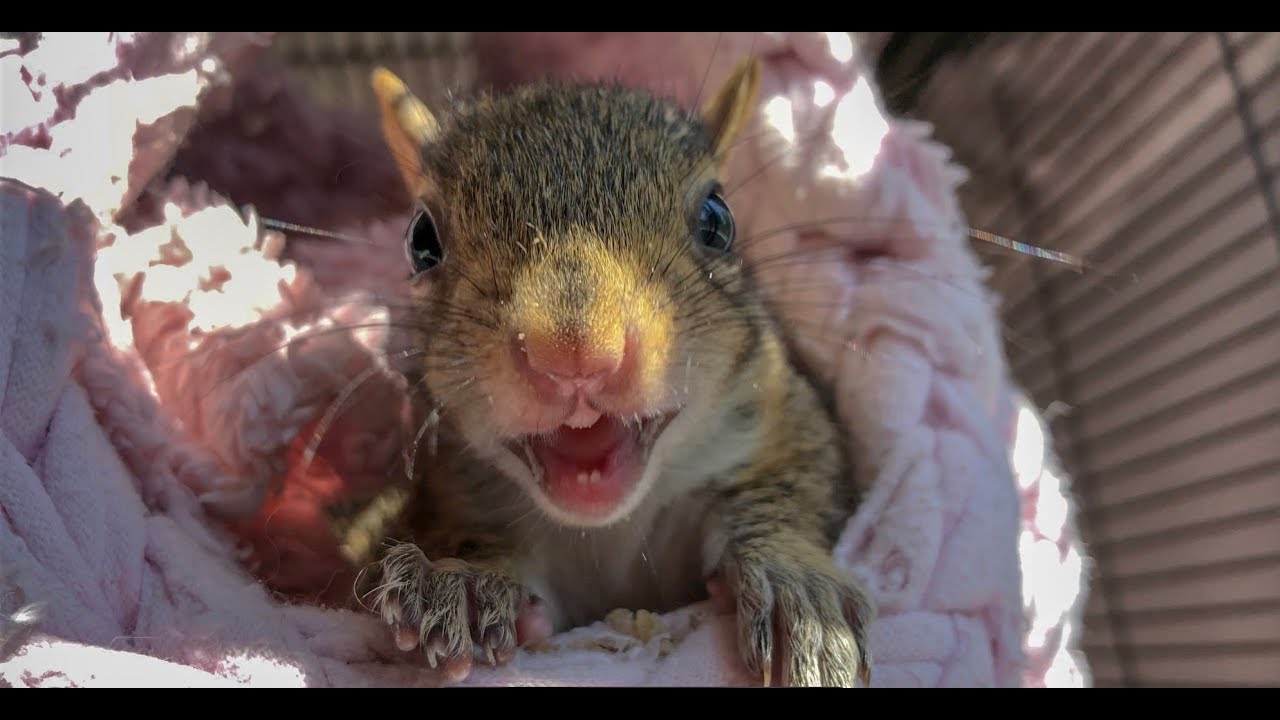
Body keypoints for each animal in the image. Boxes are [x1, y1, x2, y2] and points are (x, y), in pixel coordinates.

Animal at [339, 57, 875, 688]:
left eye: (717, 219)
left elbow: (789, 492)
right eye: (421, 240)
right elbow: (471, 538)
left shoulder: (779, 421)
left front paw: (801, 590)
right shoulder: (448, 492)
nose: (574, 350)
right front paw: (463, 582)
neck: (608, 525)